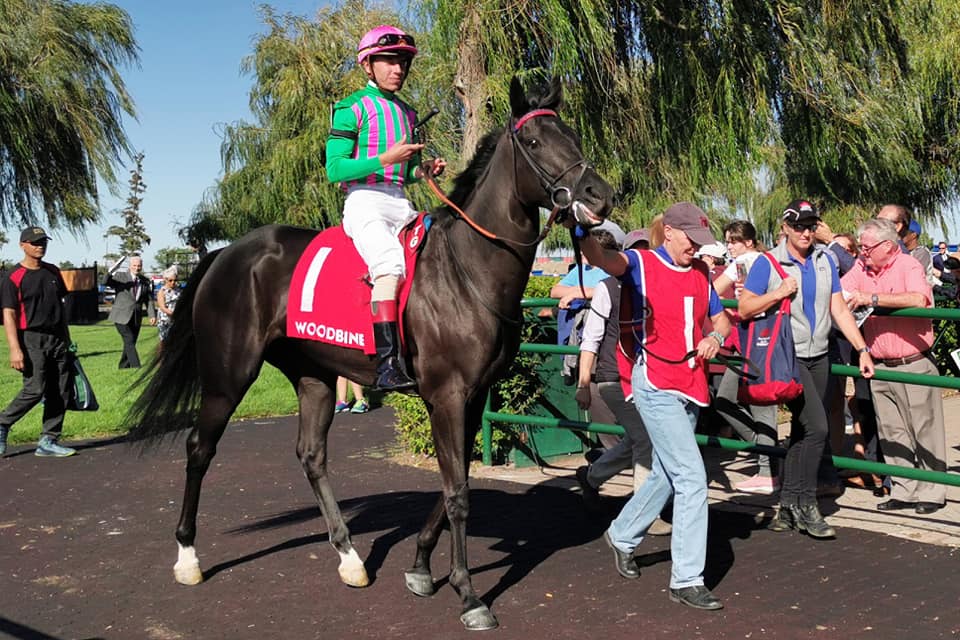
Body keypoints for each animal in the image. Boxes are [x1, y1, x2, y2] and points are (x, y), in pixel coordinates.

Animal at [127, 76, 614, 631]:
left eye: (572, 134)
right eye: (534, 142)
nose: (601, 195)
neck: (467, 269)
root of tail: (226, 252)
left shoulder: (473, 397)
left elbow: (454, 481)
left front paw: (421, 567)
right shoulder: (447, 396)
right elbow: (458, 493)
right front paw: (468, 593)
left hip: (313, 376)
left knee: (311, 455)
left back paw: (350, 559)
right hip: (228, 376)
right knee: (199, 449)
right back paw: (188, 558)